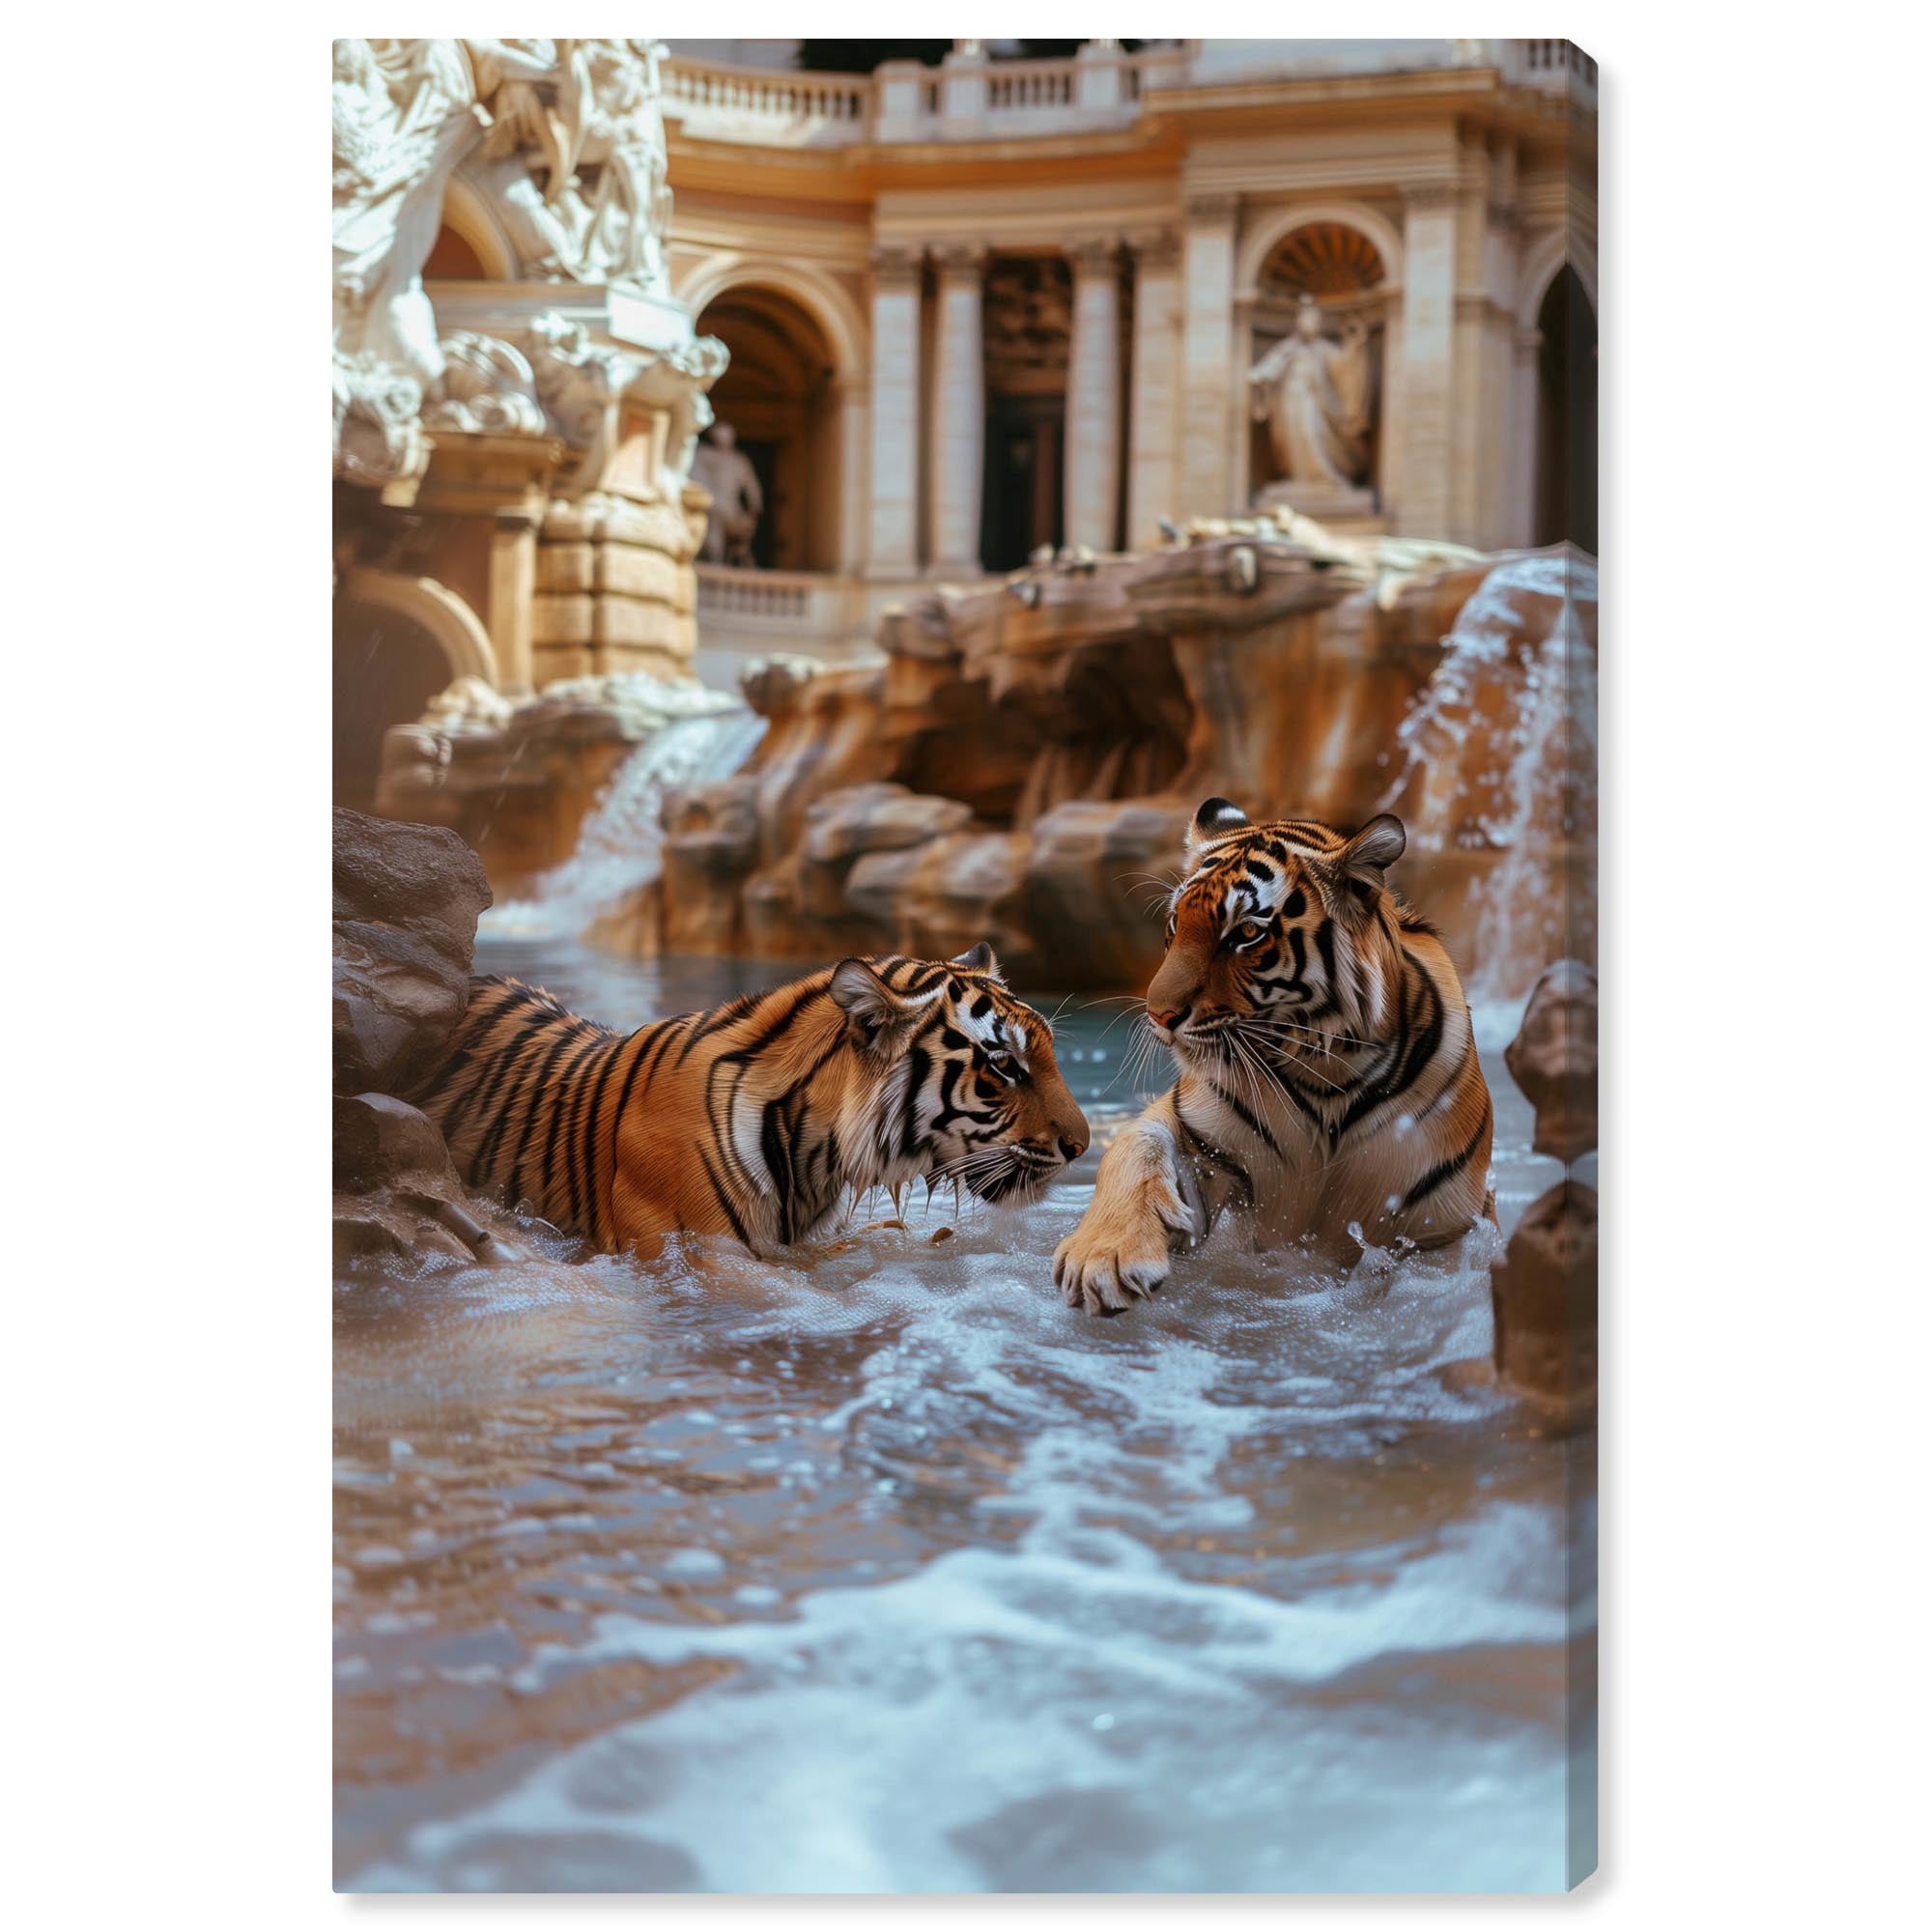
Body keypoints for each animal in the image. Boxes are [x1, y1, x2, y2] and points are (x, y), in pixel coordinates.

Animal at [1052, 797, 1494, 1316]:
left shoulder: (1447, 1218)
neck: (1327, 1075)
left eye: (1245, 933)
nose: (1158, 1014)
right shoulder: (1200, 1137)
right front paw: (1101, 1258)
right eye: (1176, 924)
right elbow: (1133, 1146)